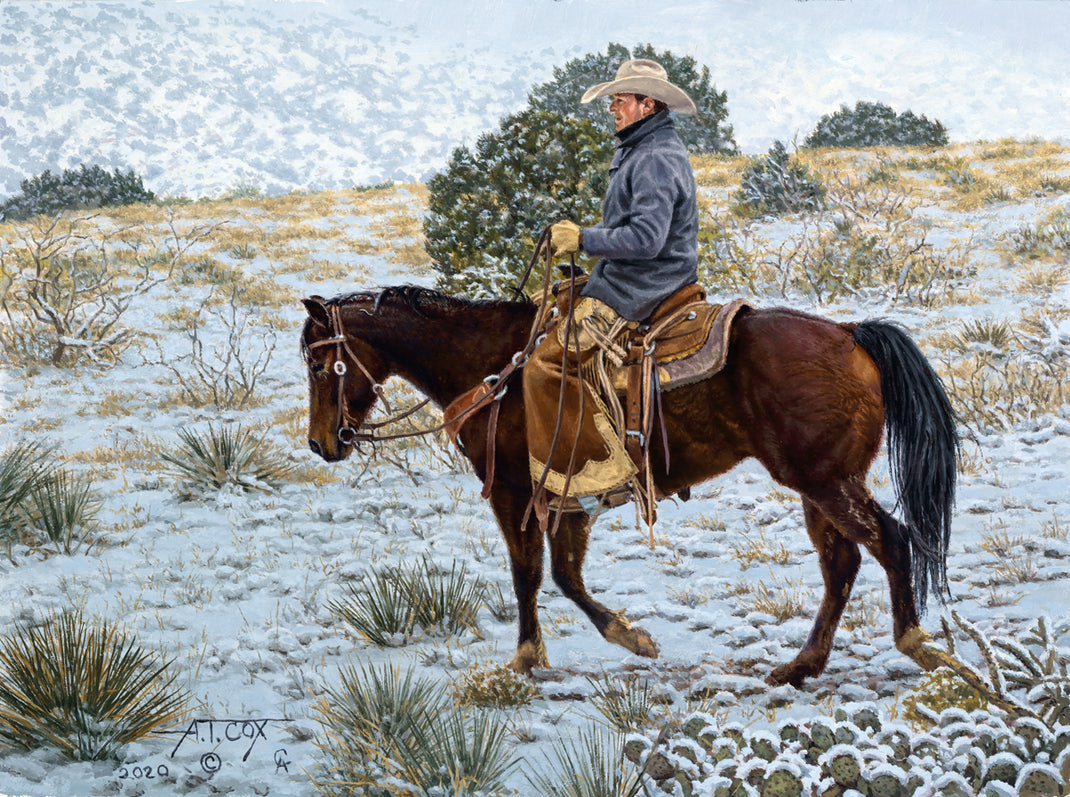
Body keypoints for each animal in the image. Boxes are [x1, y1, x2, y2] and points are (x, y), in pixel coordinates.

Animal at [300, 285, 959, 686]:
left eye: (317, 362)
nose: (323, 443)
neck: (493, 369)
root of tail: (850, 333)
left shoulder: (515, 492)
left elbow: (528, 574)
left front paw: (527, 658)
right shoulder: (568, 502)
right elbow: (565, 576)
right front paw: (631, 638)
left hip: (824, 481)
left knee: (889, 542)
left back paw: (916, 644)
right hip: (820, 484)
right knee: (842, 563)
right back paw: (801, 666)